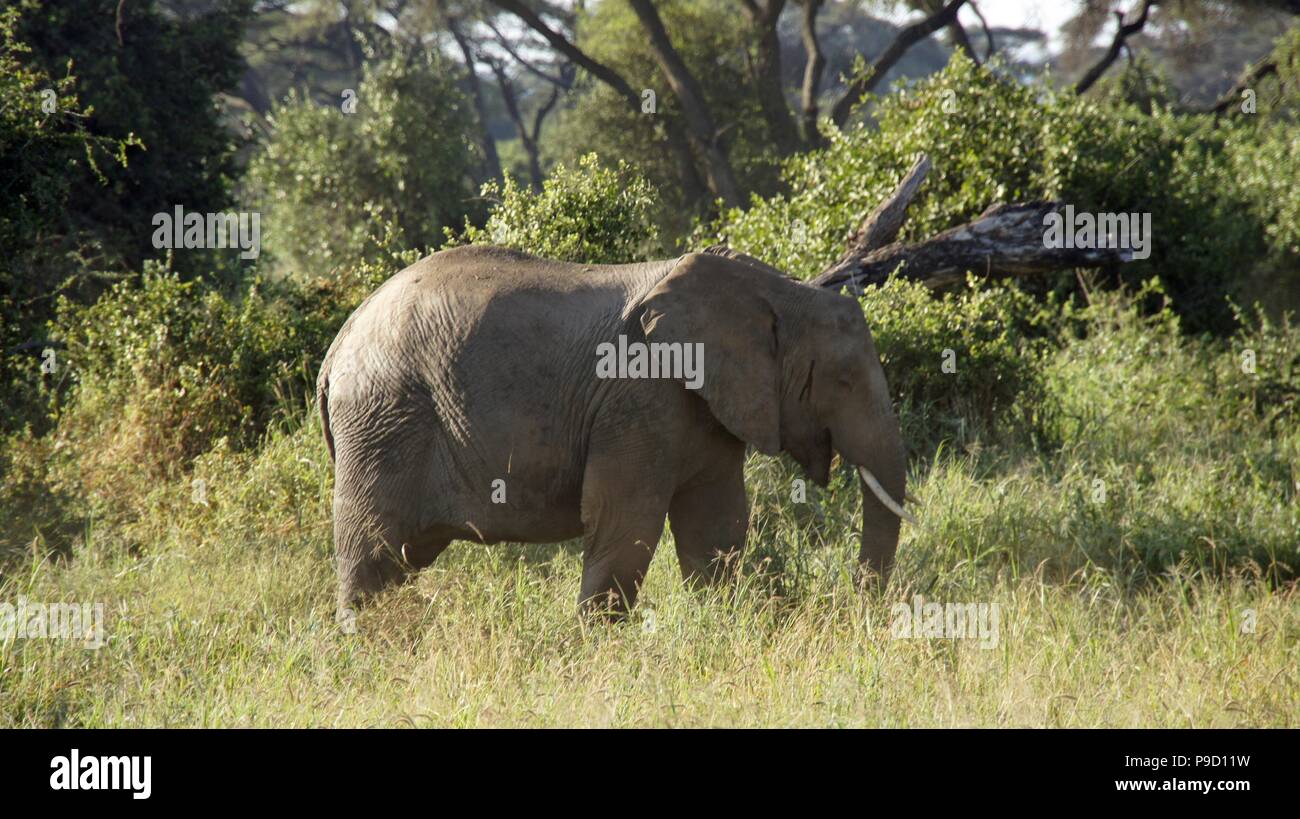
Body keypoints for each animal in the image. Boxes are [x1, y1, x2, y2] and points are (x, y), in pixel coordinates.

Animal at [317, 244, 910, 617]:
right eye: (842, 379)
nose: (856, 603)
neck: (777, 288)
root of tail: (337, 346)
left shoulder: (705, 407)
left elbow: (715, 527)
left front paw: (719, 627)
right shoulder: (638, 399)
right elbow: (626, 522)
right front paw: (590, 649)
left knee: (399, 561)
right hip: (384, 418)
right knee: (374, 553)